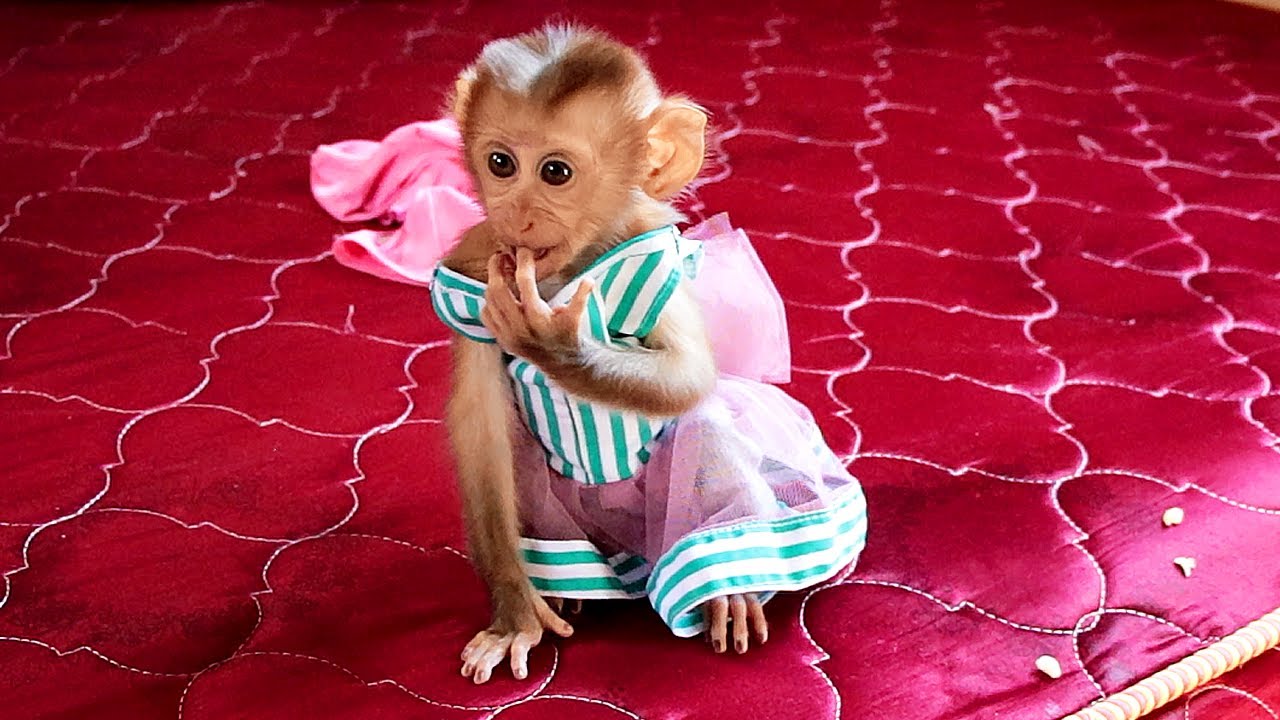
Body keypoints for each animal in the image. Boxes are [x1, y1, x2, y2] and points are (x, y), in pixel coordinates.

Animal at [432, 25, 868, 685]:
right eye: (500, 164)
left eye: (555, 172)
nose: (518, 213)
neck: (573, 264)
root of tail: (631, 559)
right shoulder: (473, 267)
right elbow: (480, 426)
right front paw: (515, 611)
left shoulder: (655, 261)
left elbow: (688, 381)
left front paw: (551, 340)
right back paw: (564, 592)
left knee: (702, 423)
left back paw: (729, 590)